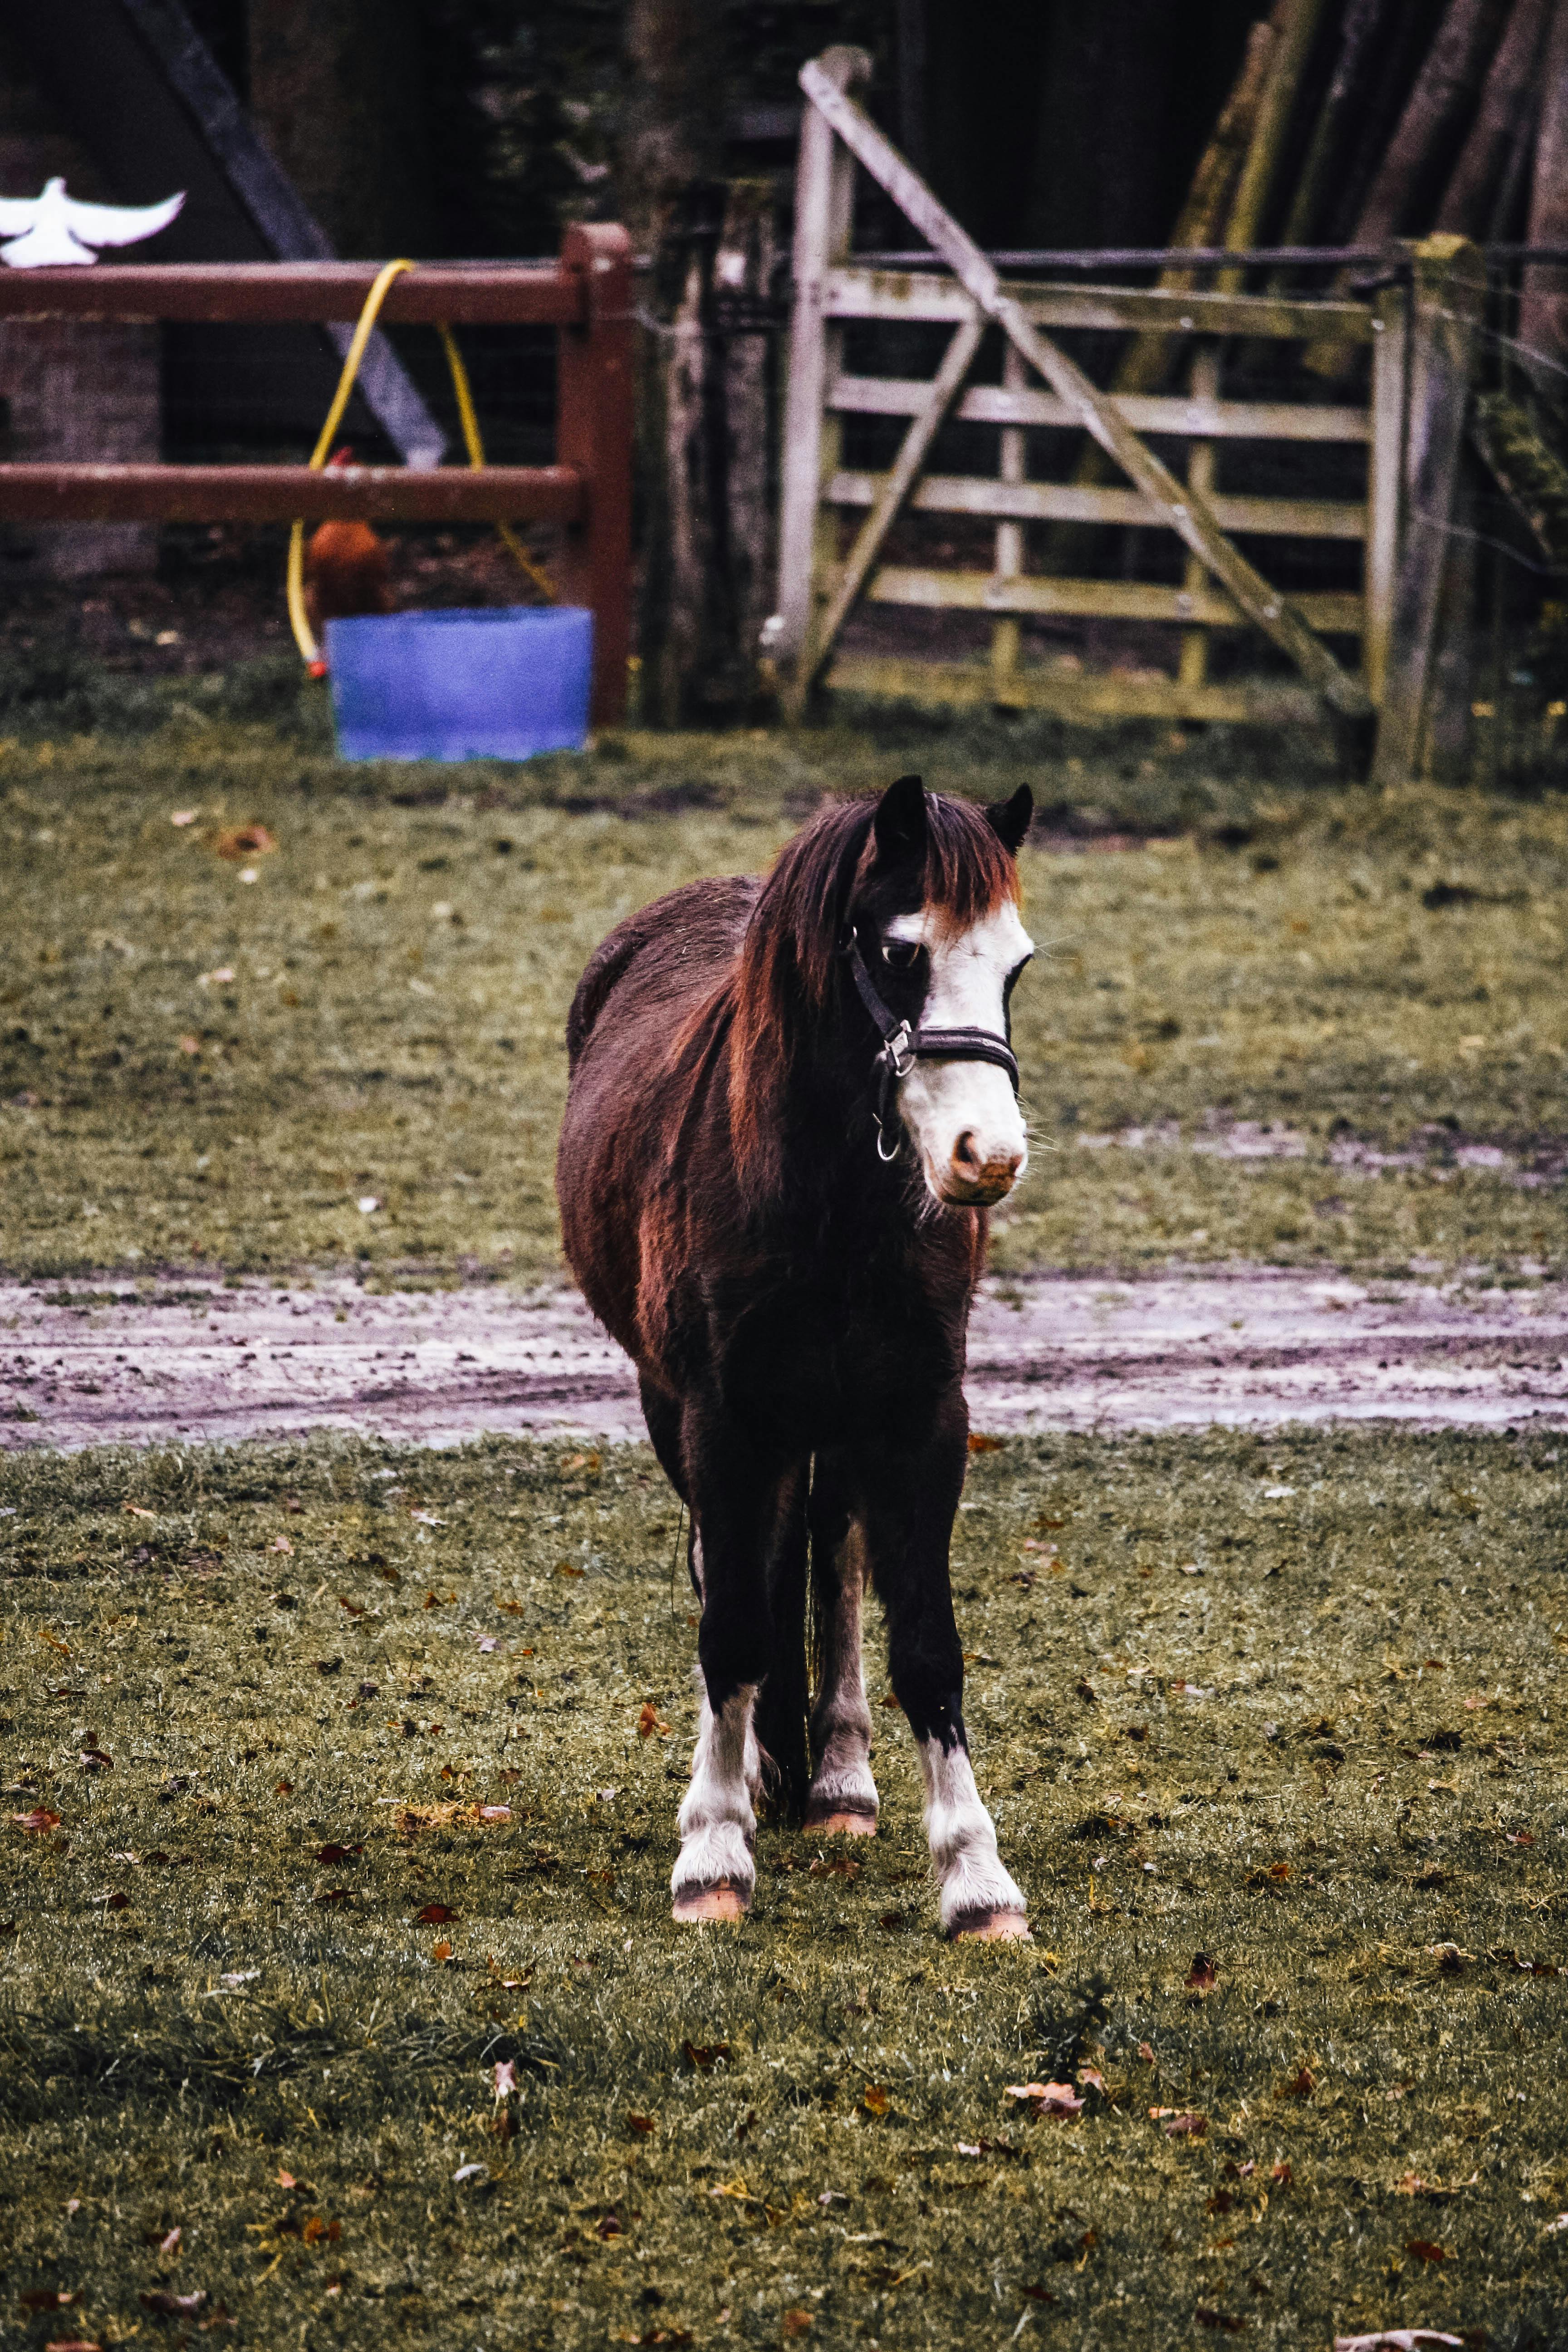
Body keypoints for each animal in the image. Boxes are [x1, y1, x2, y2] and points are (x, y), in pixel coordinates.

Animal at [556, 774, 1035, 1939]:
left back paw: (835, 1776)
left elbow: (924, 1639)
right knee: (730, 1566)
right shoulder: (722, 1416)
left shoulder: (919, 1416)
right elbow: (729, 1623)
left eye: (1015, 963)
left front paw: (975, 1876)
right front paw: (713, 1850)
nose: (987, 1157)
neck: (831, 1201)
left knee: (834, 1553)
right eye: (903, 953)